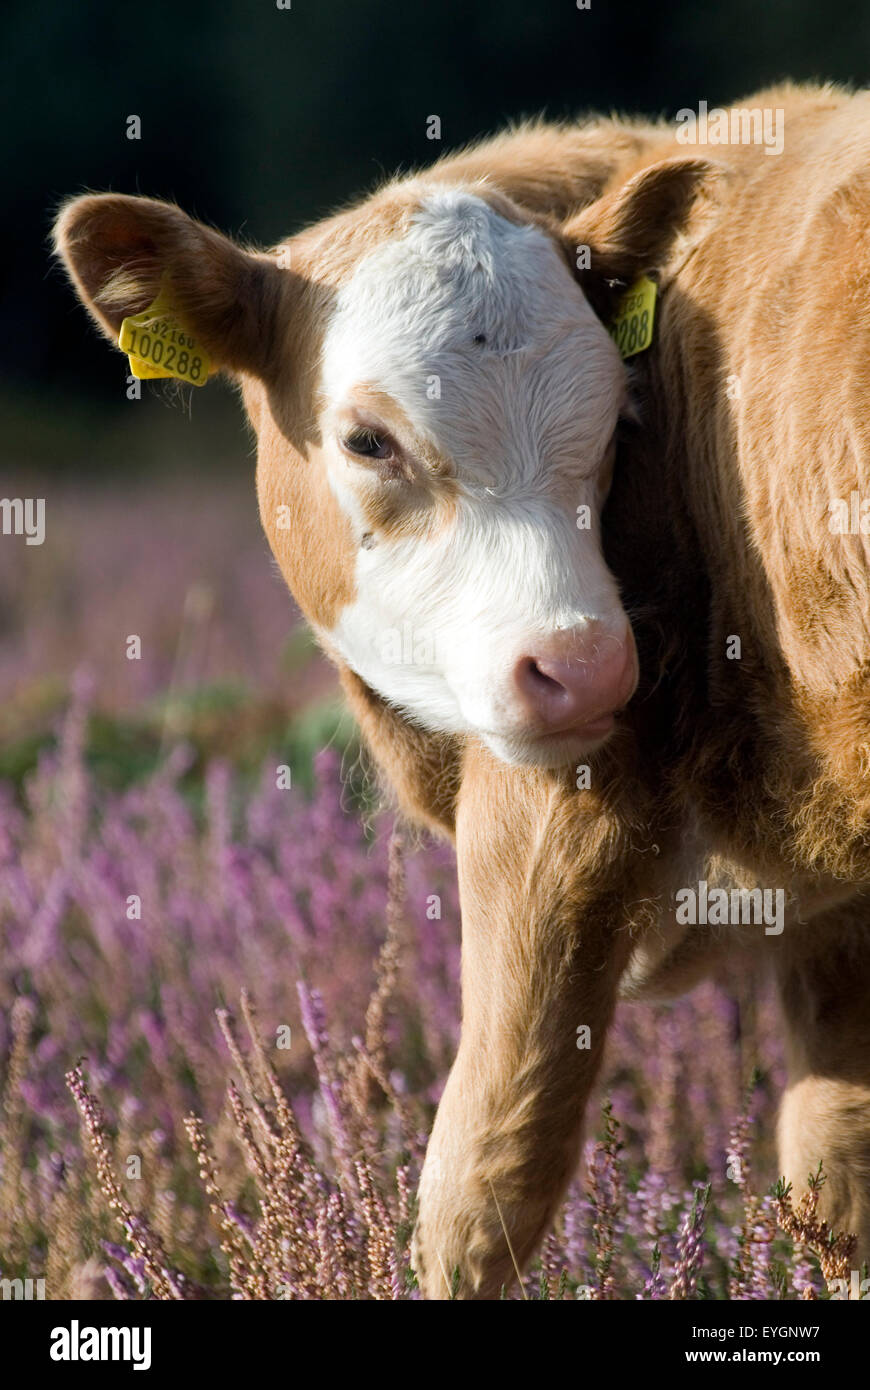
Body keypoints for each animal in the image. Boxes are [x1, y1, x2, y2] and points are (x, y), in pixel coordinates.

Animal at [55, 81, 870, 1295]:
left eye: (617, 422)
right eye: (367, 439)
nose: (586, 666)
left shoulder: (546, 829)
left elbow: (478, 1195)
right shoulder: (838, 927)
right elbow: (839, 1178)